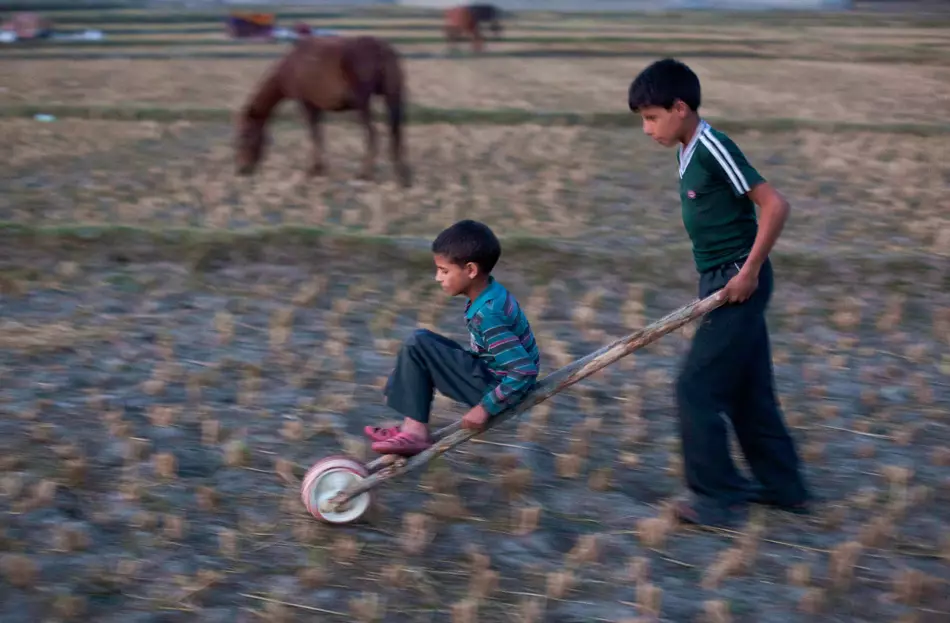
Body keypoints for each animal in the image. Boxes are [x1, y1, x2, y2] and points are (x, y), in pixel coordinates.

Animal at [235, 34, 412, 188]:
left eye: (245, 137)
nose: (242, 170)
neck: (292, 64)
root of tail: (382, 50)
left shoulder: (307, 103)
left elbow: (314, 133)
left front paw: (315, 169)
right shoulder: (317, 106)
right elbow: (319, 133)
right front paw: (319, 168)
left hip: (363, 104)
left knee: (372, 134)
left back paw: (365, 174)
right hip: (393, 97)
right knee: (396, 133)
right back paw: (402, 175)